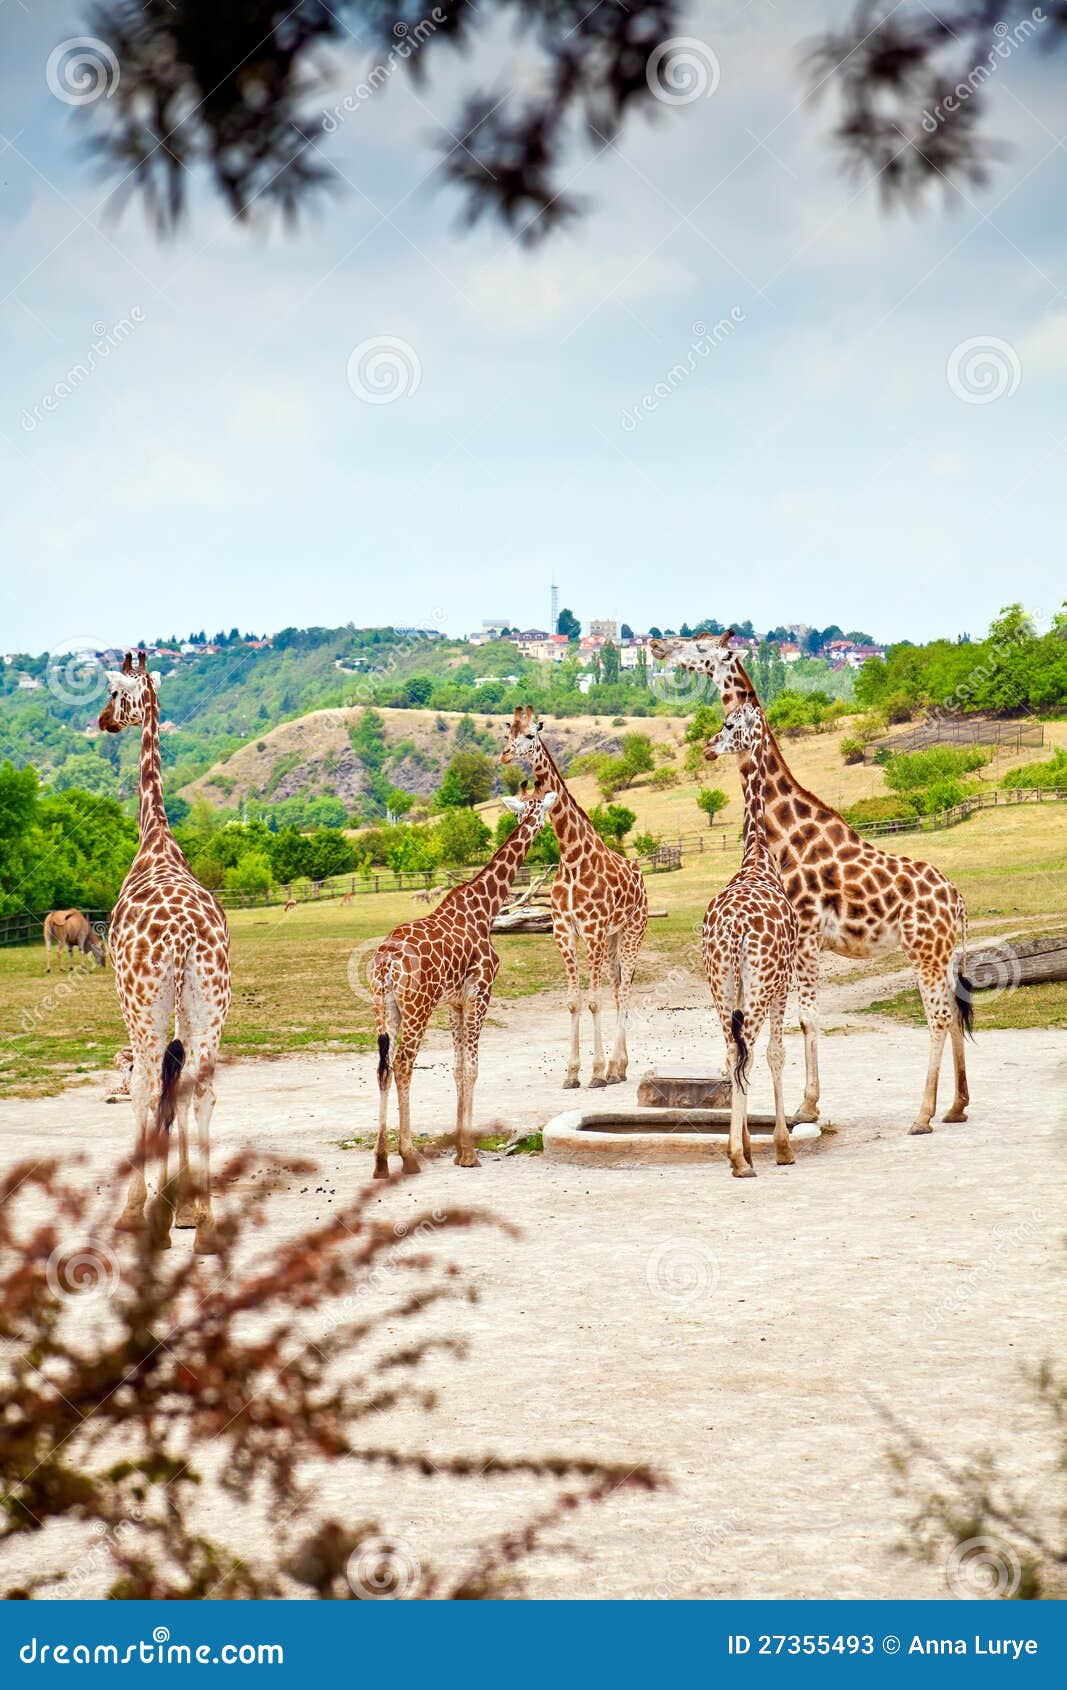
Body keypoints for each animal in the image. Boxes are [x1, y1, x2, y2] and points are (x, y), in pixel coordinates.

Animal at [371, 781, 558, 1178]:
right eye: (540, 806)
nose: (545, 825)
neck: (485, 907)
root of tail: (385, 964)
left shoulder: (454, 1001)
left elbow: (457, 1069)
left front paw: (460, 1150)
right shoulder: (480, 991)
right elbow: (472, 1068)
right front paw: (470, 1153)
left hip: (386, 1008)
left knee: (383, 1066)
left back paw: (380, 1163)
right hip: (417, 1007)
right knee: (404, 1063)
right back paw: (408, 1157)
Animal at [500, 707, 649, 1088]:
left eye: (530, 735)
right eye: (507, 735)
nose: (505, 755)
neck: (571, 858)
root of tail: (640, 875)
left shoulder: (592, 931)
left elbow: (594, 1001)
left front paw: (595, 1072)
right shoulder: (564, 932)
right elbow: (573, 1001)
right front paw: (571, 1073)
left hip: (632, 931)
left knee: (624, 989)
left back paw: (613, 1067)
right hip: (613, 938)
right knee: (617, 986)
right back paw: (620, 1067)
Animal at [650, 633, 973, 1133]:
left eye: (700, 646)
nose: (656, 645)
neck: (782, 831)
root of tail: (956, 900)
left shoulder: (803, 934)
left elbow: (806, 1018)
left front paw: (806, 1106)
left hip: (926, 952)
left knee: (938, 1016)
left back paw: (923, 1114)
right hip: (944, 952)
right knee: (955, 1012)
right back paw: (956, 1107)